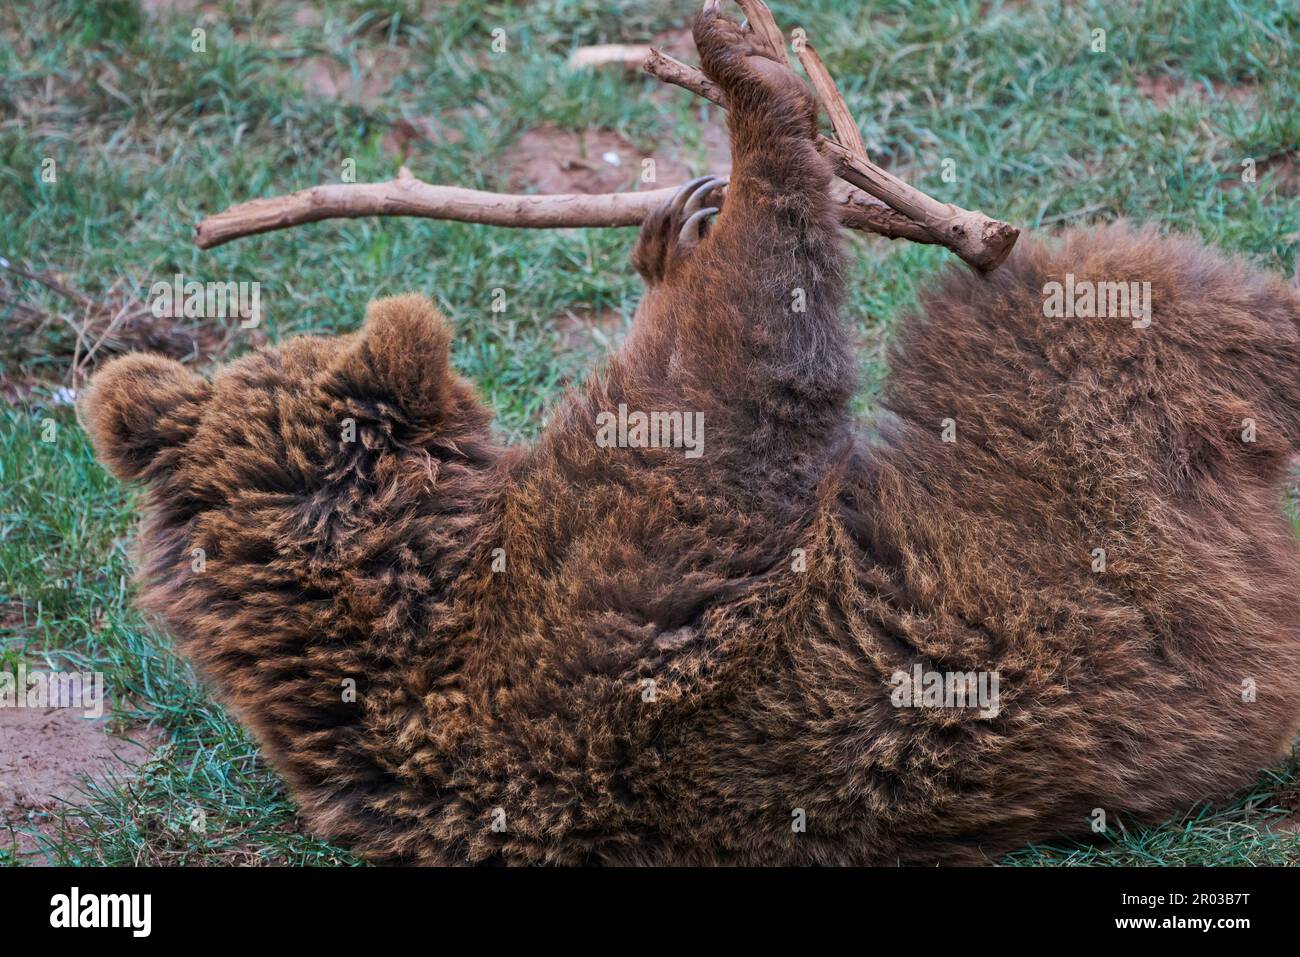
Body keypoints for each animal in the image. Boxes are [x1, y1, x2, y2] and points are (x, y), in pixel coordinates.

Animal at [84, 3, 1300, 865]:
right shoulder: (623, 578)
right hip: (1106, 492)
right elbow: (752, 367)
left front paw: (676, 226)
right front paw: (747, 72)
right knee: (1124, 299)